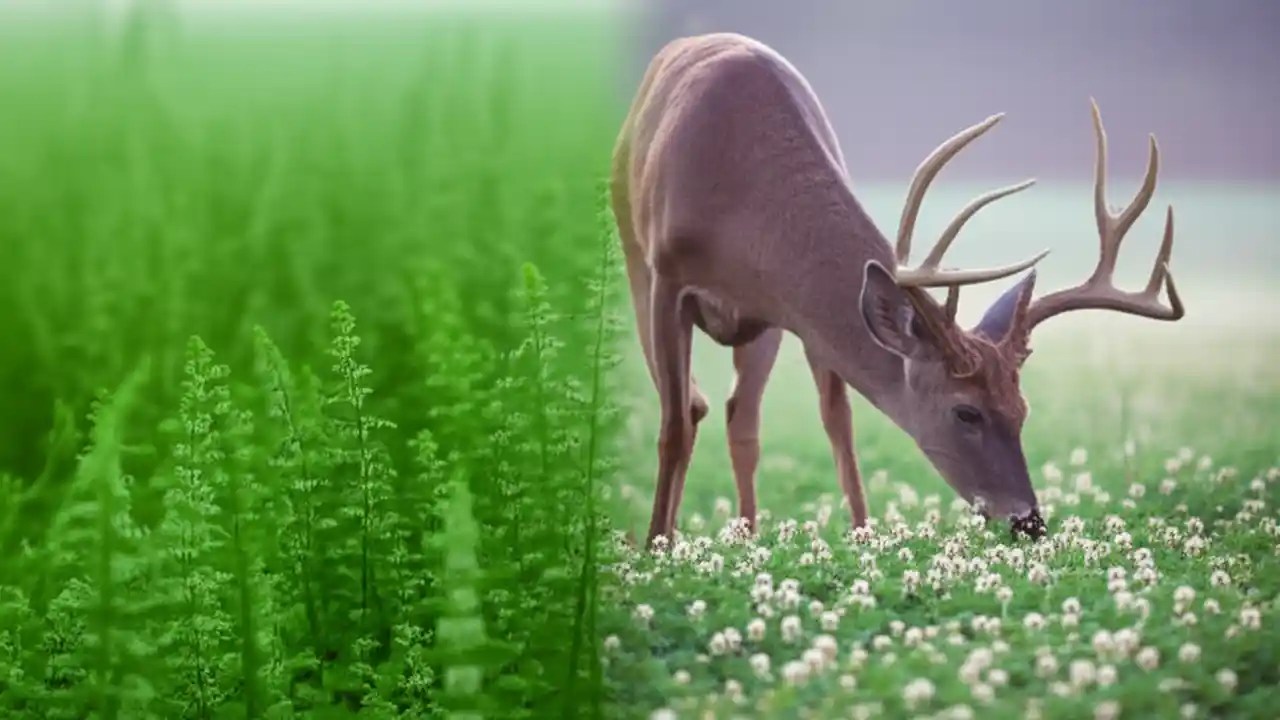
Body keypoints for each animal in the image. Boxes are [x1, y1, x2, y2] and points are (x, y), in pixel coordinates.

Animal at [610, 33, 1184, 548]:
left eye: (1023, 410)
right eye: (966, 412)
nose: (1028, 521)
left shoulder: (791, 309)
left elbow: (839, 425)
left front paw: (863, 537)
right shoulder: (667, 278)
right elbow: (673, 428)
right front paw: (656, 545)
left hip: (762, 328)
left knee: (746, 418)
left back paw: (749, 536)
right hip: (638, 263)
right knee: (697, 409)